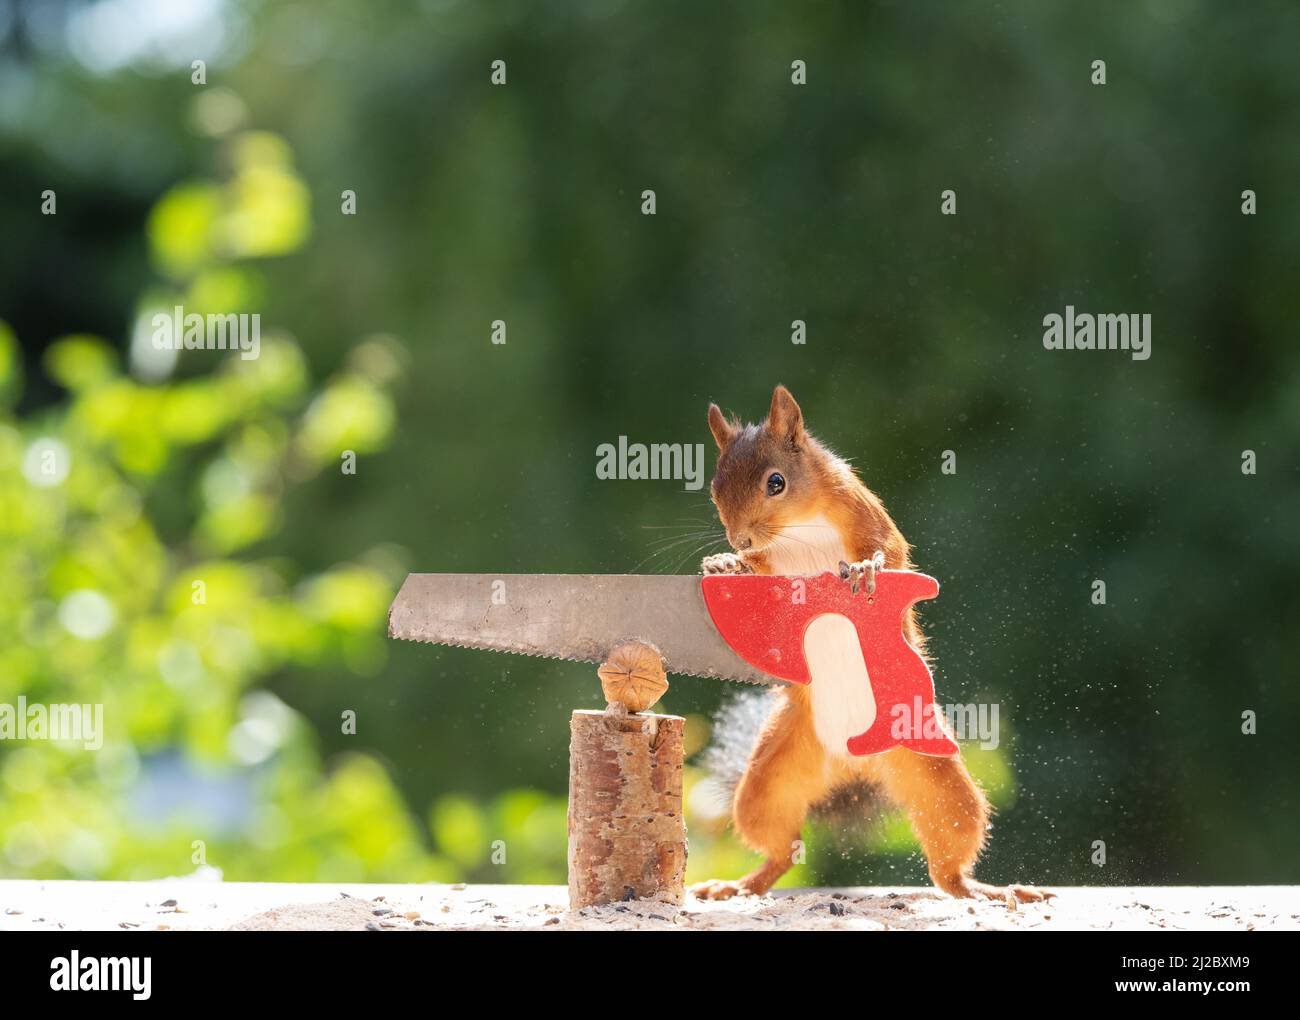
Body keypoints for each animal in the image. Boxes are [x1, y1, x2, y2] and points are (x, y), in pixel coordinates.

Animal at [690, 384, 1049, 902]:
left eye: (776, 482)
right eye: (715, 487)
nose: (739, 539)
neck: (799, 528)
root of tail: (855, 768)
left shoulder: (866, 514)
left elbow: (892, 553)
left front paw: (865, 568)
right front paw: (726, 564)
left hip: (939, 778)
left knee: (949, 863)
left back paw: (986, 890)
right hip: (769, 781)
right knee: (781, 852)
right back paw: (737, 885)